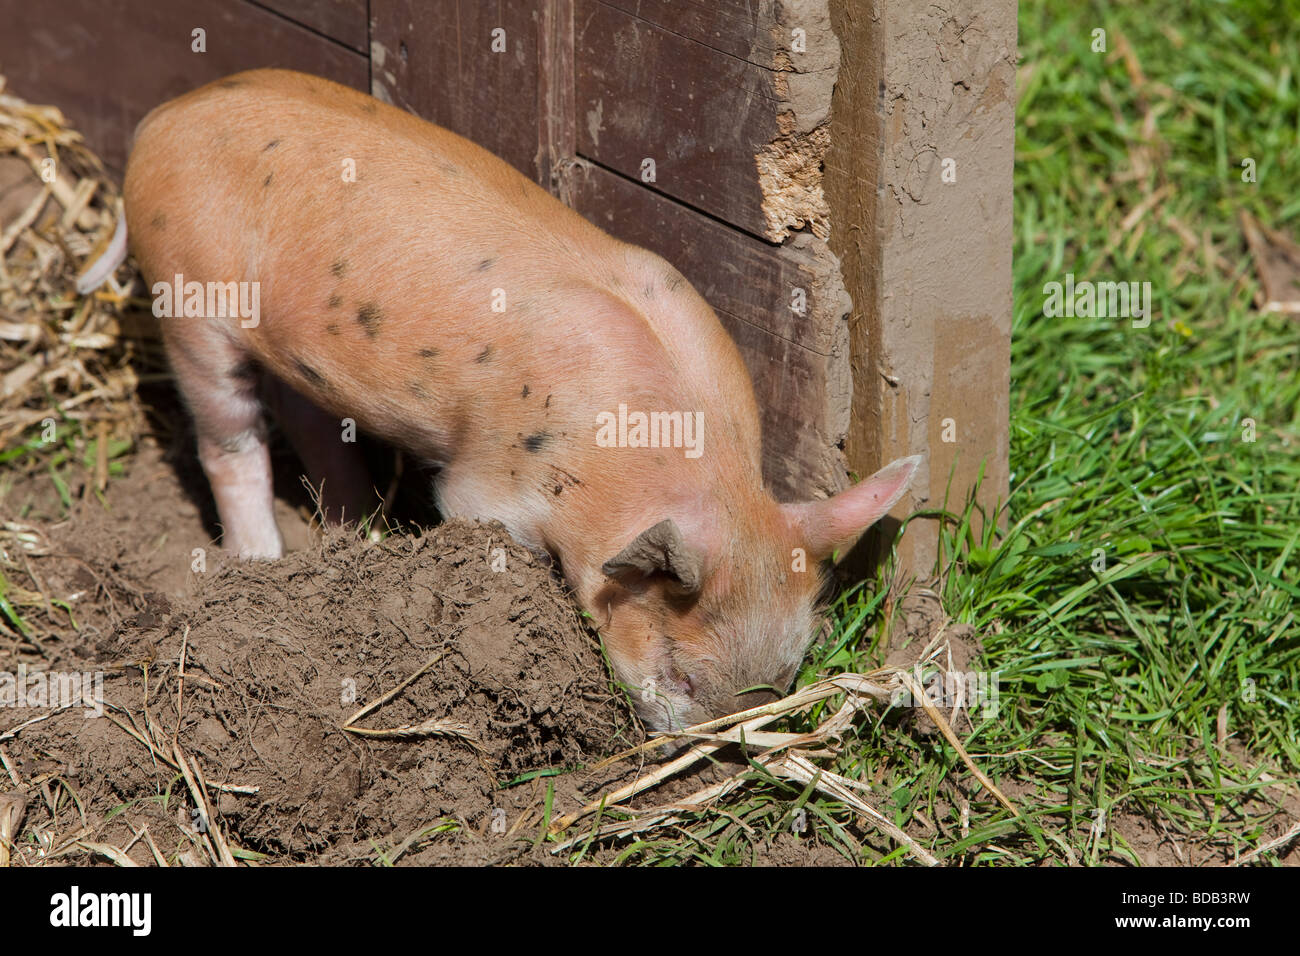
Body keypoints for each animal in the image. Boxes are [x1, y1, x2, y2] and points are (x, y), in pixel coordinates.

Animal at [96, 69, 920, 733]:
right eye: (684, 676)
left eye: (787, 673)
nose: (711, 755)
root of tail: (163, 115)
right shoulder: (487, 485)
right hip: (187, 300)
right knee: (227, 438)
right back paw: (261, 561)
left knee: (306, 419)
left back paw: (360, 535)